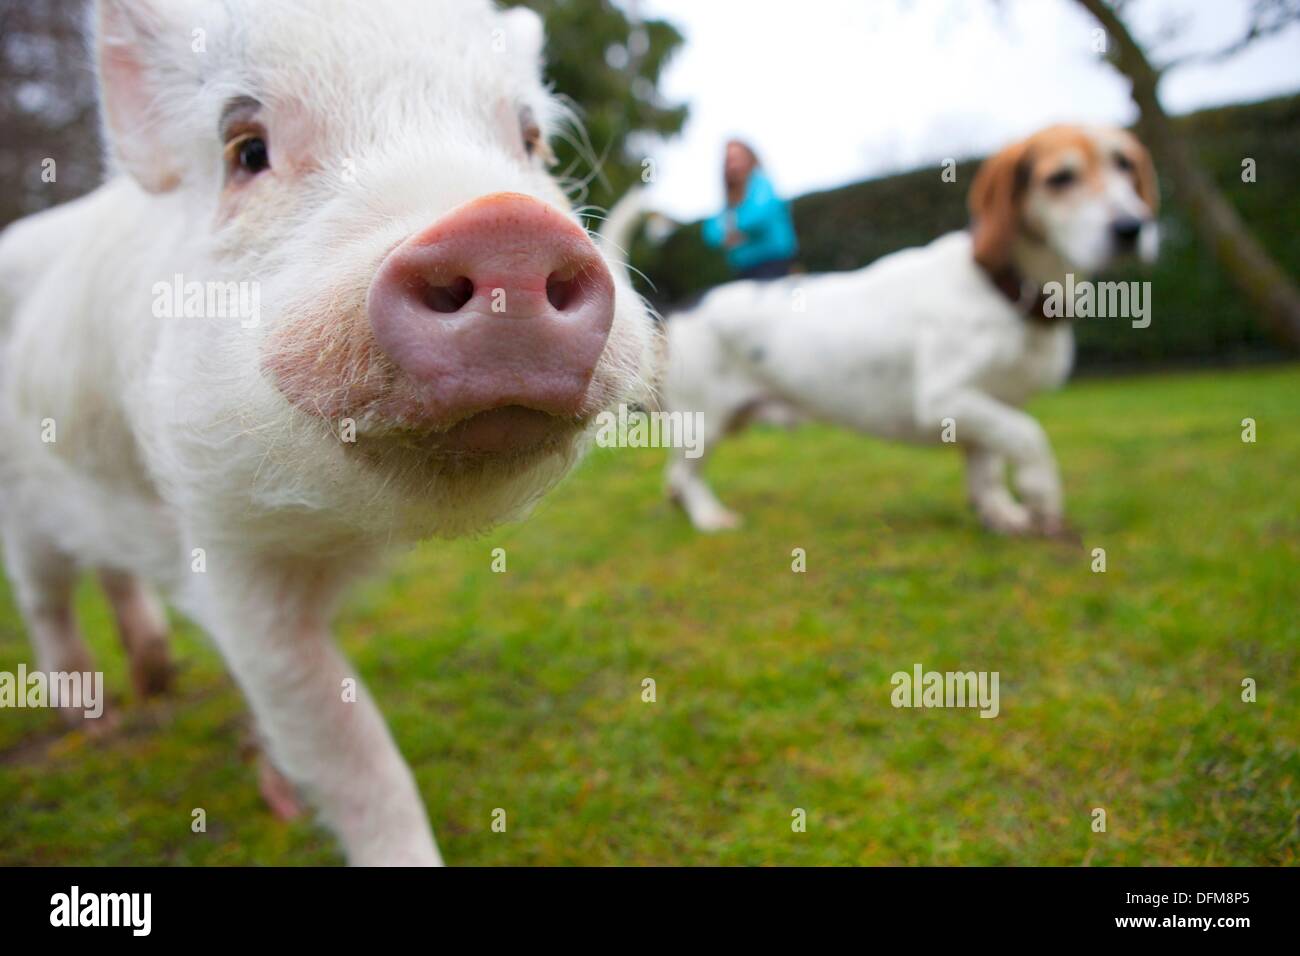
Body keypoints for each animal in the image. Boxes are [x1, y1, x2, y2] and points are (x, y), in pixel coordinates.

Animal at [0, 0, 657, 865]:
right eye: (246, 149)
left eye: (531, 141)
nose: (503, 225)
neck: (347, 533)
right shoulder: (226, 551)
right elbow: (350, 748)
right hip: (22, 507)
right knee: (45, 598)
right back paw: (93, 718)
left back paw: (158, 679)